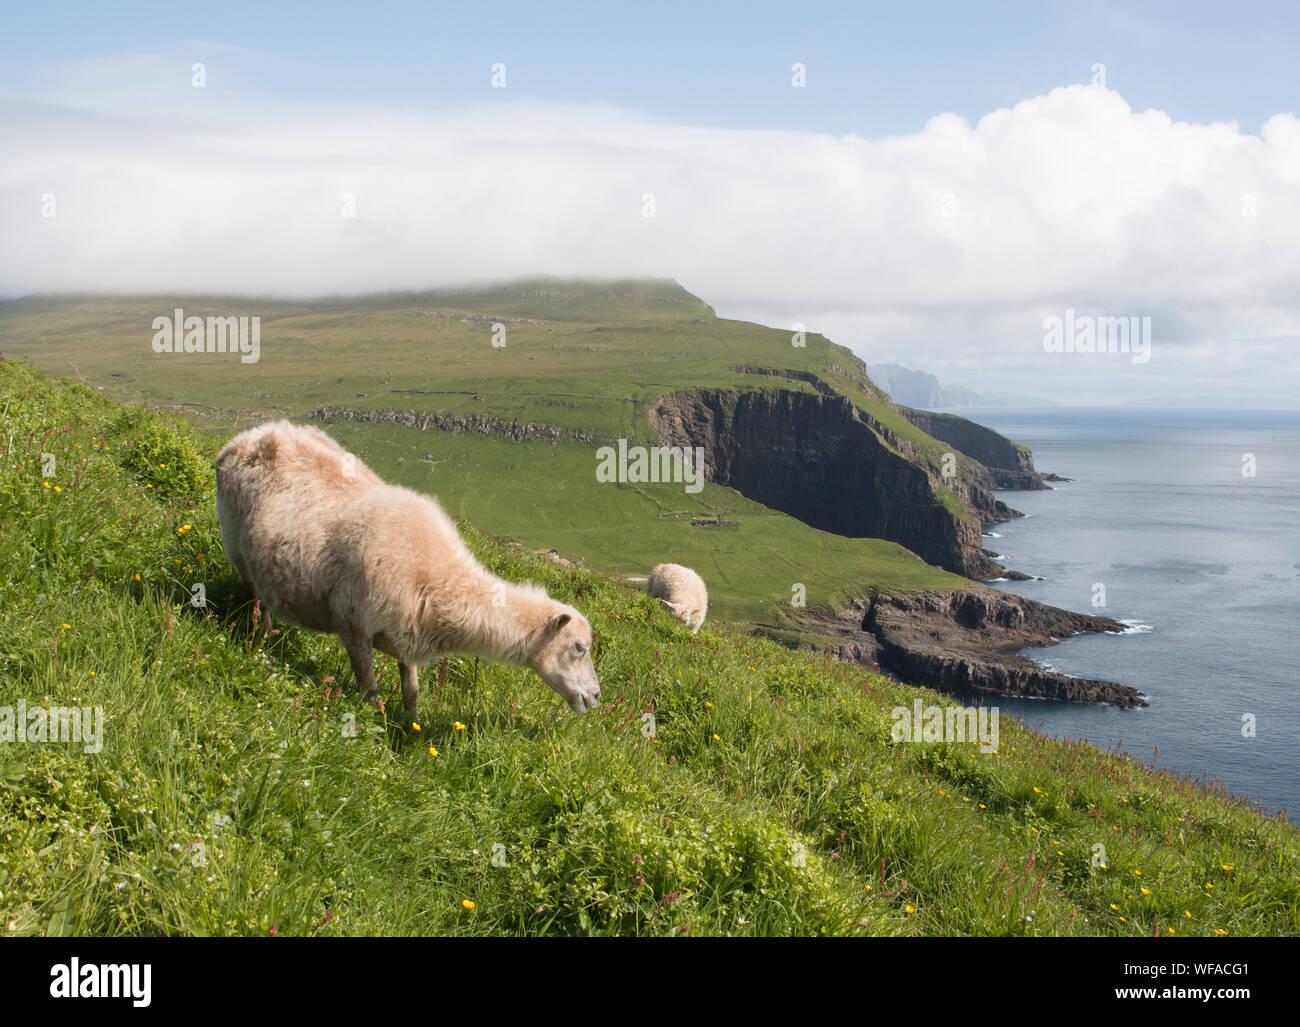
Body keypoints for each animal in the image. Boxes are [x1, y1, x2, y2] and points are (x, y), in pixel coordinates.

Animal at [215, 420, 600, 716]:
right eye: (579, 648)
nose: (596, 696)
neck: (440, 580)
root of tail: (252, 433)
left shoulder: (408, 634)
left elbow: (412, 690)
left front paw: (410, 730)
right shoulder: (353, 628)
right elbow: (370, 690)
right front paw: (376, 732)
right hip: (237, 549)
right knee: (255, 597)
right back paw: (259, 639)